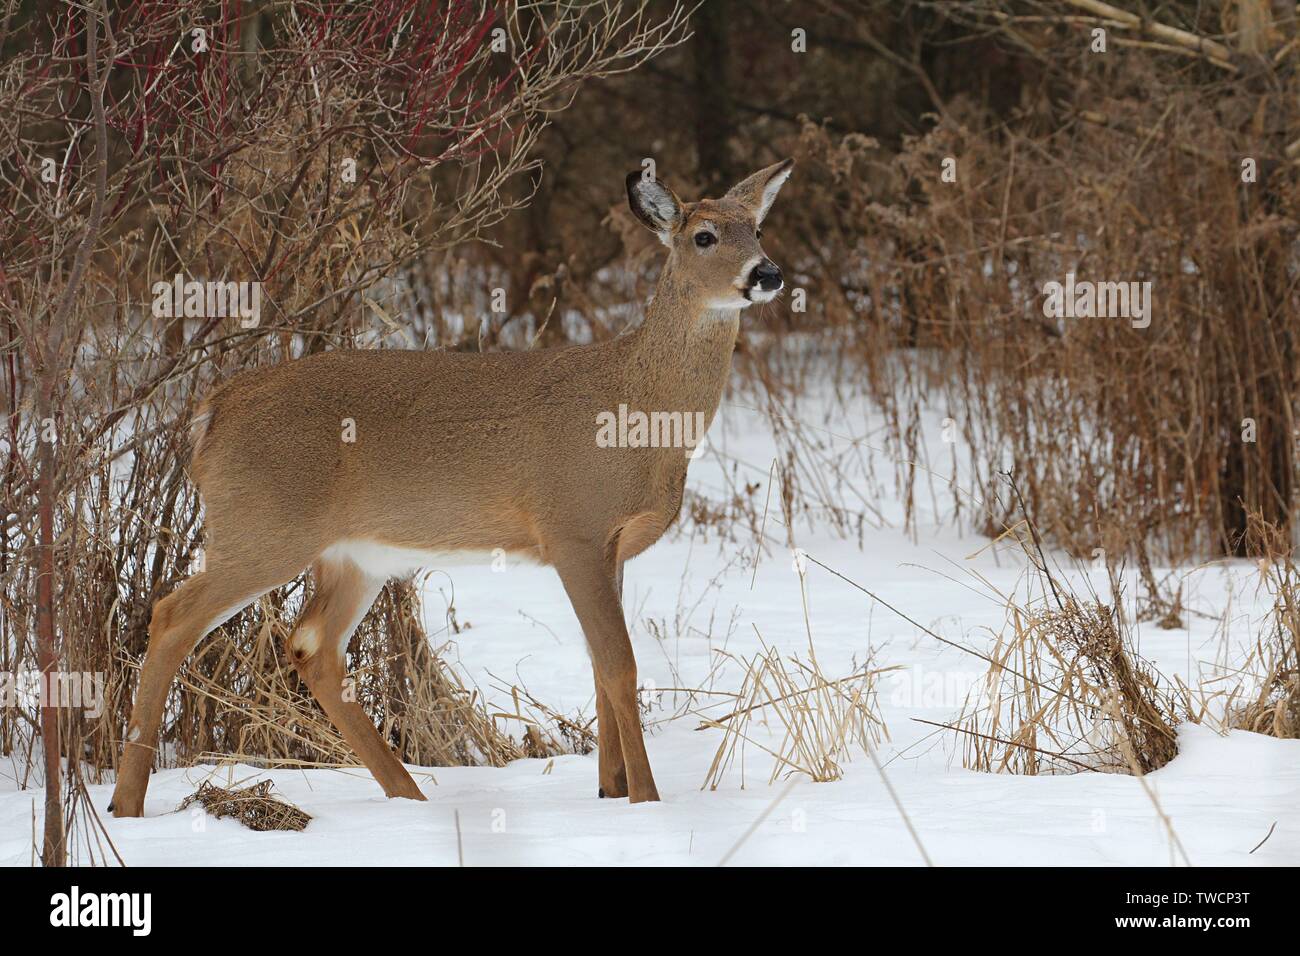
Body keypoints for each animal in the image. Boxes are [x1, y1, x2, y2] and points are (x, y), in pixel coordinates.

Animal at [110, 159, 793, 816]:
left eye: (757, 229)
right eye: (704, 236)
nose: (769, 273)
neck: (640, 414)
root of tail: (211, 412)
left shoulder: (612, 545)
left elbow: (601, 669)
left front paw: (611, 792)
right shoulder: (570, 528)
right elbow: (619, 666)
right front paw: (647, 801)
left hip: (354, 554)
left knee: (312, 649)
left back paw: (408, 797)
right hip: (262, 527)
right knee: (172, 617)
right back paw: (127, 803)